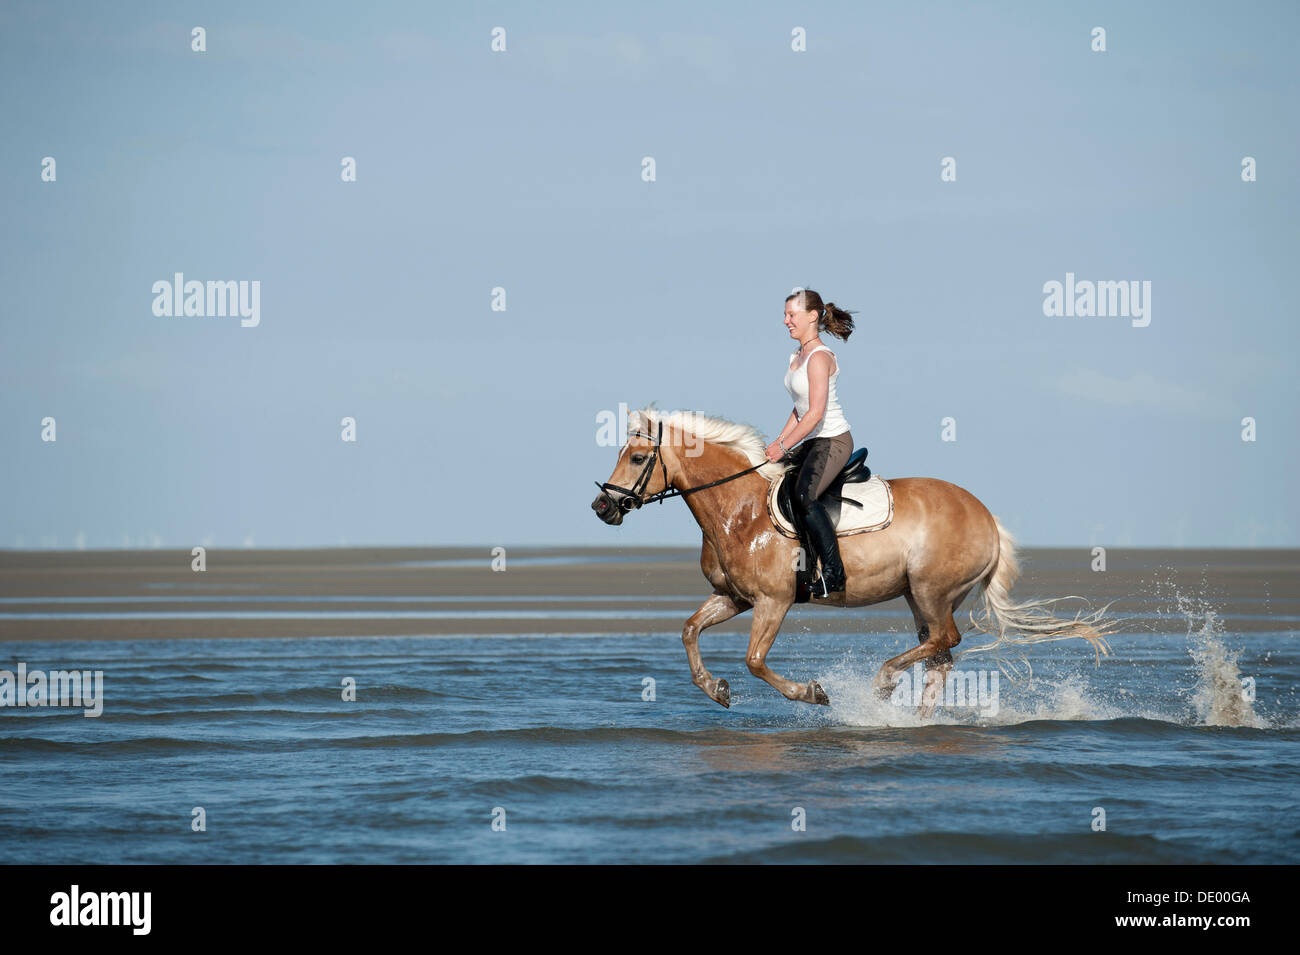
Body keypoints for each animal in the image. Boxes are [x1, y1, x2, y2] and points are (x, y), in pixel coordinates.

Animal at [591, 406, 1116, 717]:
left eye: (636, 458)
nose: (602, 507)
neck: (740, 507)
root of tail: (986, 516)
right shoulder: (734, 597)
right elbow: (689, 631)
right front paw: (714, 688)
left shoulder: (774, 600)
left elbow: (755, 660)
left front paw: (813, 693)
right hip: (917, 596)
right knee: (940, 658)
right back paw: (916, 720)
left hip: (931, 590)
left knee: (945, 642)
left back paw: (883, 685)